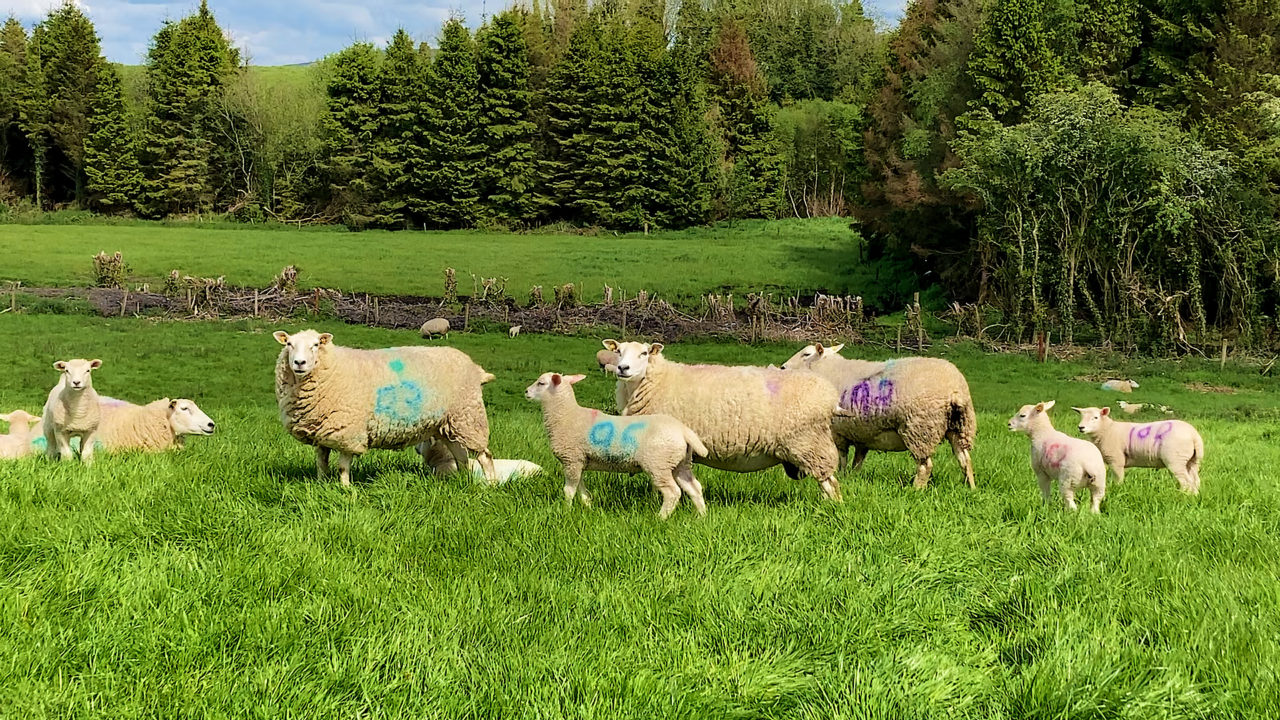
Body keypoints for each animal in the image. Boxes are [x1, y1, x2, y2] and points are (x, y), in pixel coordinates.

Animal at [275, 329, 498, 487]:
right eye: (289, 344)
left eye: (315, 345)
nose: (299, 363)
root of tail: (476, 369)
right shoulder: (323, 430)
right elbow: (321, 462)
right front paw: (321, 484)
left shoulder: (349, 432)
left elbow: (342, 467)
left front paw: (346, 490)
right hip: (448, 425)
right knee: (461, 457)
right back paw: (464, 482)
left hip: (469, 417)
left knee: (484, 455)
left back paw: (491, 485)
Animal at [526, 371, 708, 518]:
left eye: (541, 383)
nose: (526, 391)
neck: (566, 415)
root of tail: (683, 430)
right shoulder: (579, 462)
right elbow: (581, 488)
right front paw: (588, 506)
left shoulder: (571, 459)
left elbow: (569, 490)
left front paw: (565, 510)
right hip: (680, 462)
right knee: (694, 488)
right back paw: (701, 516)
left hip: (658, 463)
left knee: (672, 492)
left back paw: (660, 518)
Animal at [605, 339, 845, 501]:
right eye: (618, 351)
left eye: (644, 353)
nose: (623, 368)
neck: (657, 382)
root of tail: (830, 395)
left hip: (810, 445)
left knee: (831, 484)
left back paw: (831, 508)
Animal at [780, 342, 976, 489]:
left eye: (806, 354)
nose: (783, 367)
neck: (828, 370)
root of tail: (954, 389)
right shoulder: (861, 434)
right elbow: (857, 462)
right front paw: (852, 478)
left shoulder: (838, 432)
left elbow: (842, 459)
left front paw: (842, 476)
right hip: (959, 427)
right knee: (964, 459)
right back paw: (971, 487)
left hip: (920, 428)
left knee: (925, 466)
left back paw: (916, 490)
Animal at [1073, 406, 1204, 494]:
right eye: (1081, 416)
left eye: (1095, 417)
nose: (1081, 427)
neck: (1107, 429)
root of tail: (1194, 435)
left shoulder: (1116, 460)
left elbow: (1119, 478)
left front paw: (1118, 489)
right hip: (1192, 461)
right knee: (1195, 481)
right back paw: (1194, 496)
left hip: (1176, 460)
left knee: (1186, 482)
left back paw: (1182, 495)